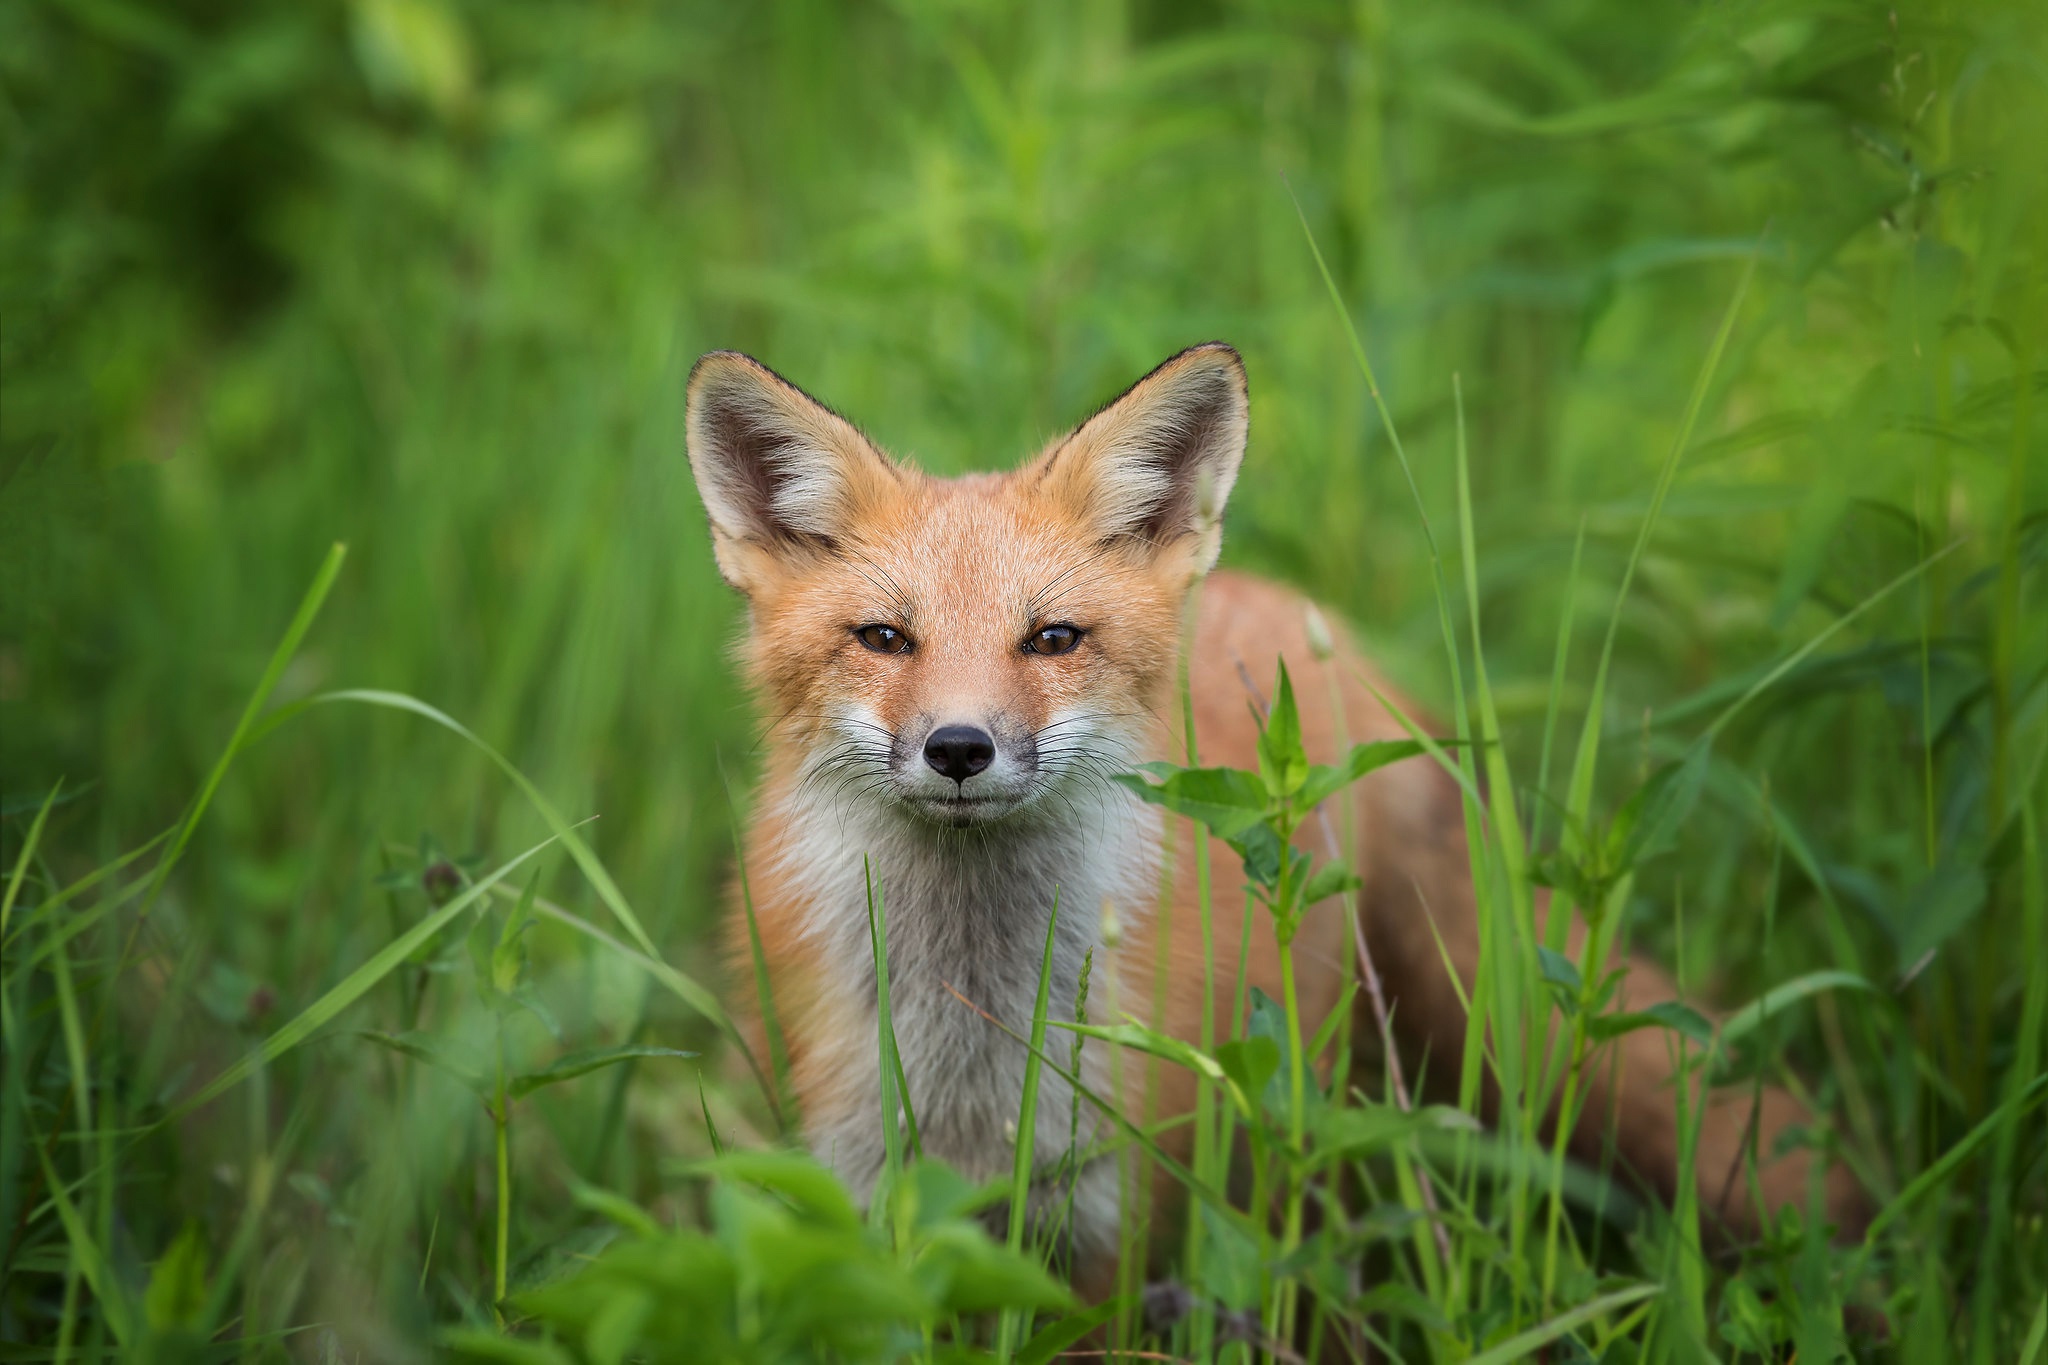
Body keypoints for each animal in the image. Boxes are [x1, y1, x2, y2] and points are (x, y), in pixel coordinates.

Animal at [684, 341, 1865, 1296]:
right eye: (885, 639)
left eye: (1052, 639)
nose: (960, 748)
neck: (971, 1053)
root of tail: (1304, 614)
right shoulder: (858, 1192)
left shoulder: (1110, 1220)